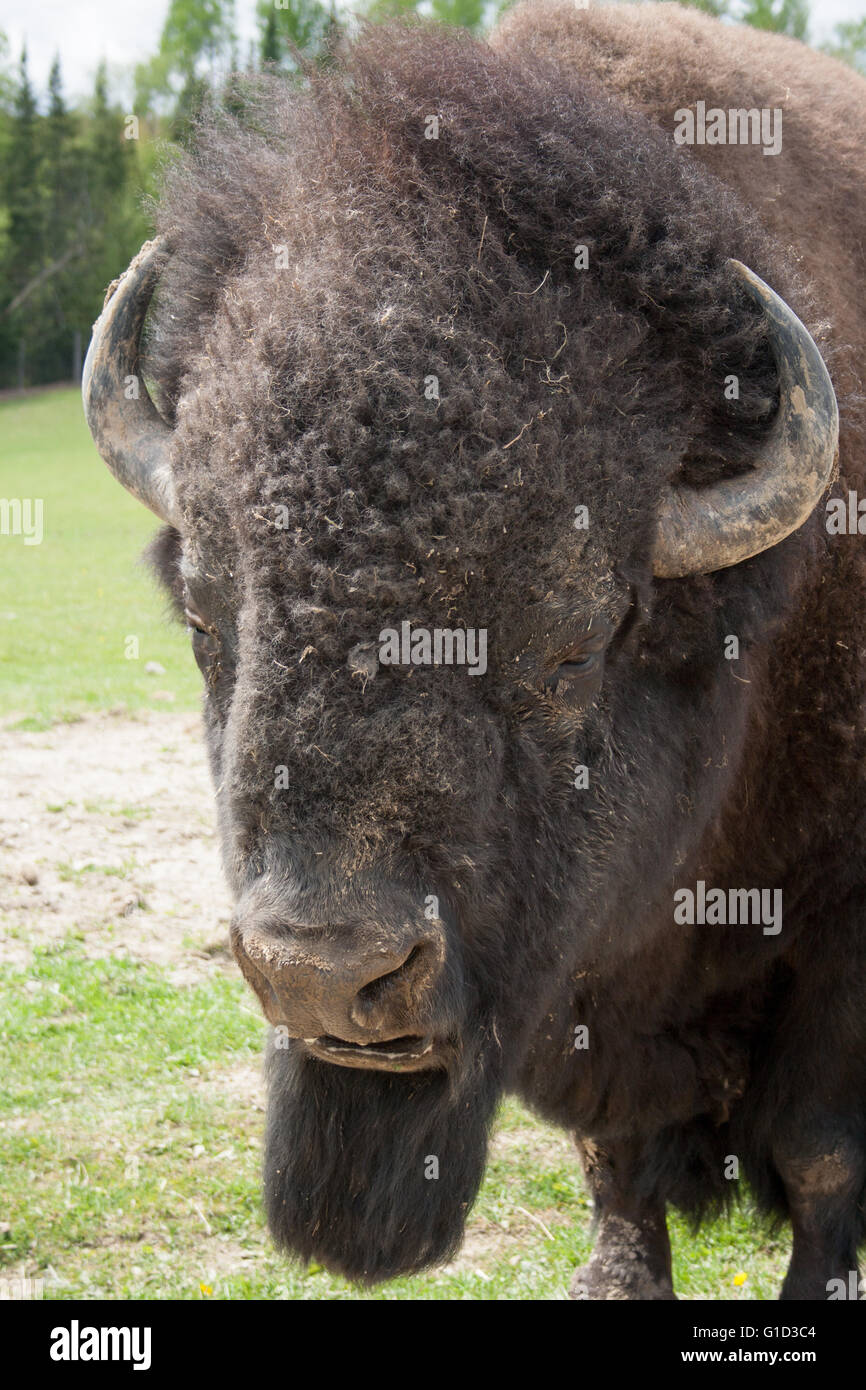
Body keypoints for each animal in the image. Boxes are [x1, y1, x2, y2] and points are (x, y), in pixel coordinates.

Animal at [83, 4, 866, 1298]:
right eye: (204, 623)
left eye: (574, 645)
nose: (323, 971)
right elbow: (614, 1145)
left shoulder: (836, 955)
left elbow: (817, 1155)